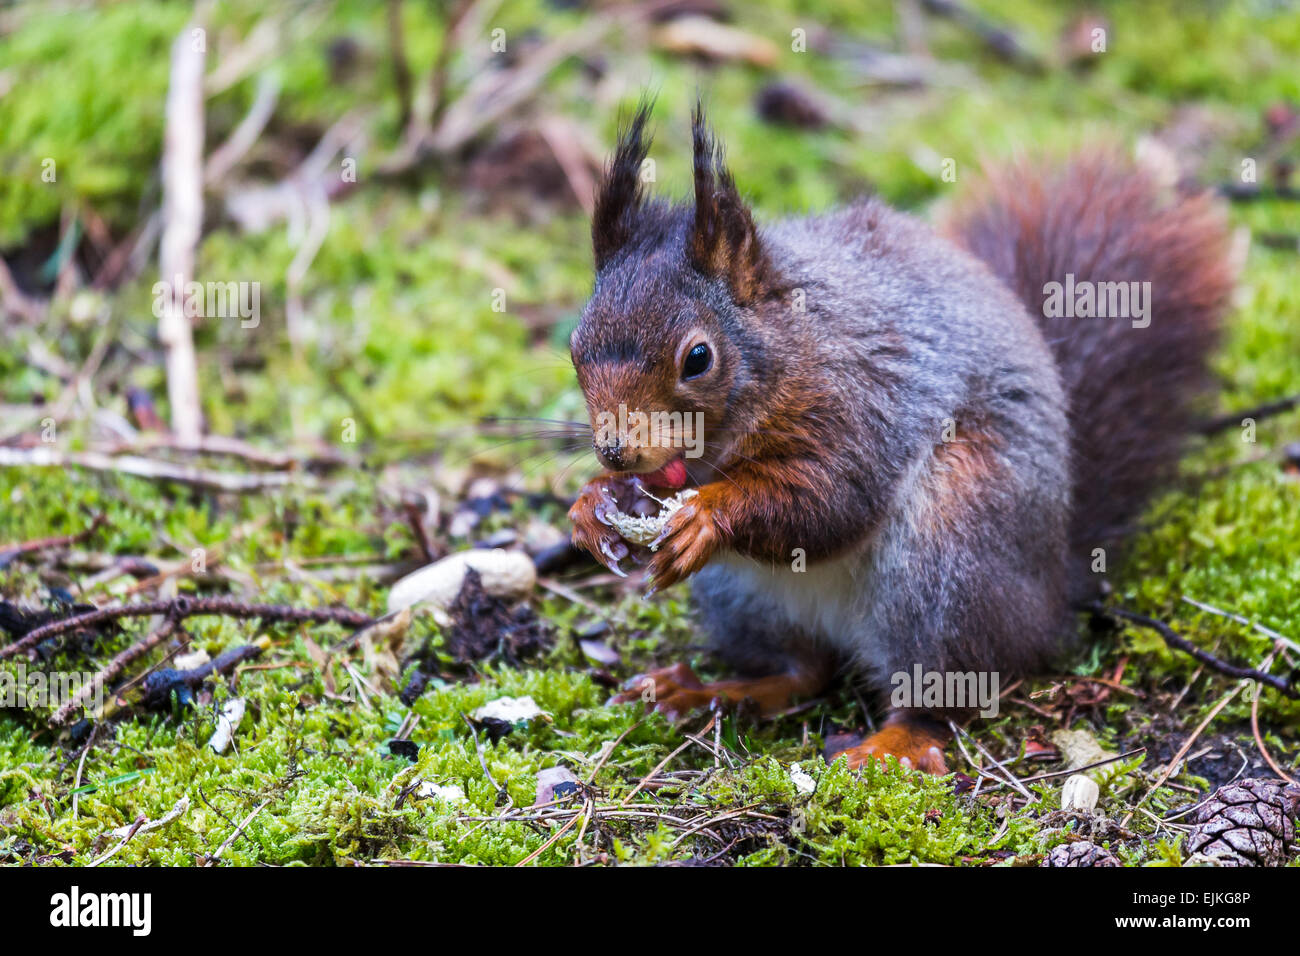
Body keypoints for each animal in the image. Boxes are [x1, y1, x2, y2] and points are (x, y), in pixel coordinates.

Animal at [566, 100, 1235, 772]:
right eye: (575, 346)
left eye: (698, 358)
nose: (616, 452)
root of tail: (1049, 592)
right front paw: (592, 506)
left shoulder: (864, 401)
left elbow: (831, 497)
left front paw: (705, 515)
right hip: (743, 600)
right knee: (803, 670)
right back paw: (708, 691)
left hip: (949, 558)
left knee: (943, 690)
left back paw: (890, 745)